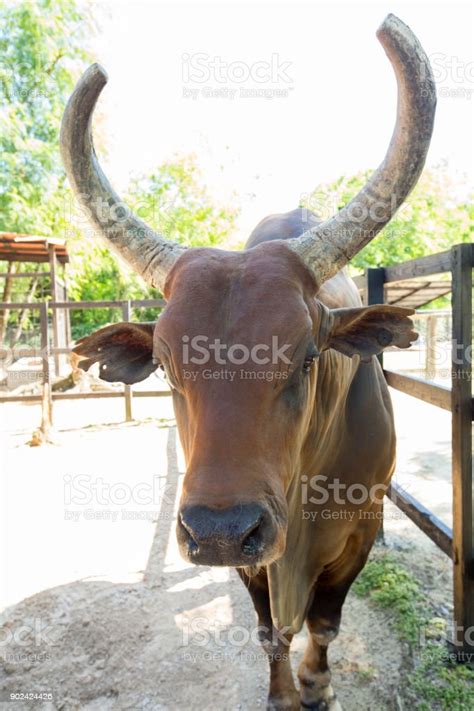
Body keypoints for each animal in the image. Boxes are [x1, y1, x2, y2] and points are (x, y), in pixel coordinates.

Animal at [62, 15, 436, 711]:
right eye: (165, 366)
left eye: (308, 356)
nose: (219, 530)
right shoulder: (249, 555)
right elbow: (270, 632)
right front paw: (283, 693)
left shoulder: (356, 534)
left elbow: (325, 622)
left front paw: (317, 686)